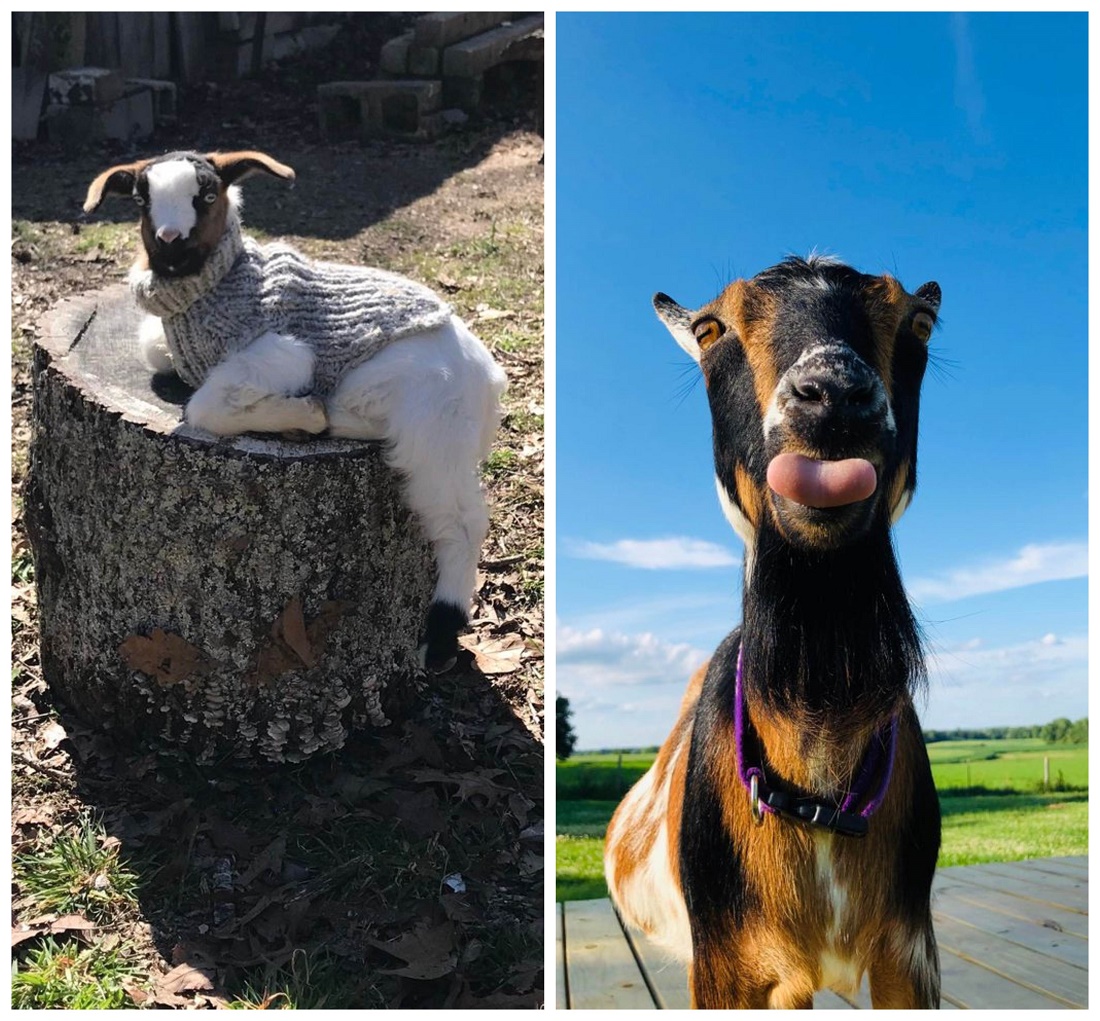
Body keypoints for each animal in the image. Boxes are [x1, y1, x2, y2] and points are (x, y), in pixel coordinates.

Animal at [83, 150, 507, 673]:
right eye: (141, 199)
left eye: (208, 194)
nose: (170, 242)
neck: (209, 291)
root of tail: (489, 382)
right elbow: (155, 351)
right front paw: (304, 415)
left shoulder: (283, 353)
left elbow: (204, 407)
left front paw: (301, 414)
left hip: (435, 431)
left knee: (461, 524)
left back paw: (441, 639)